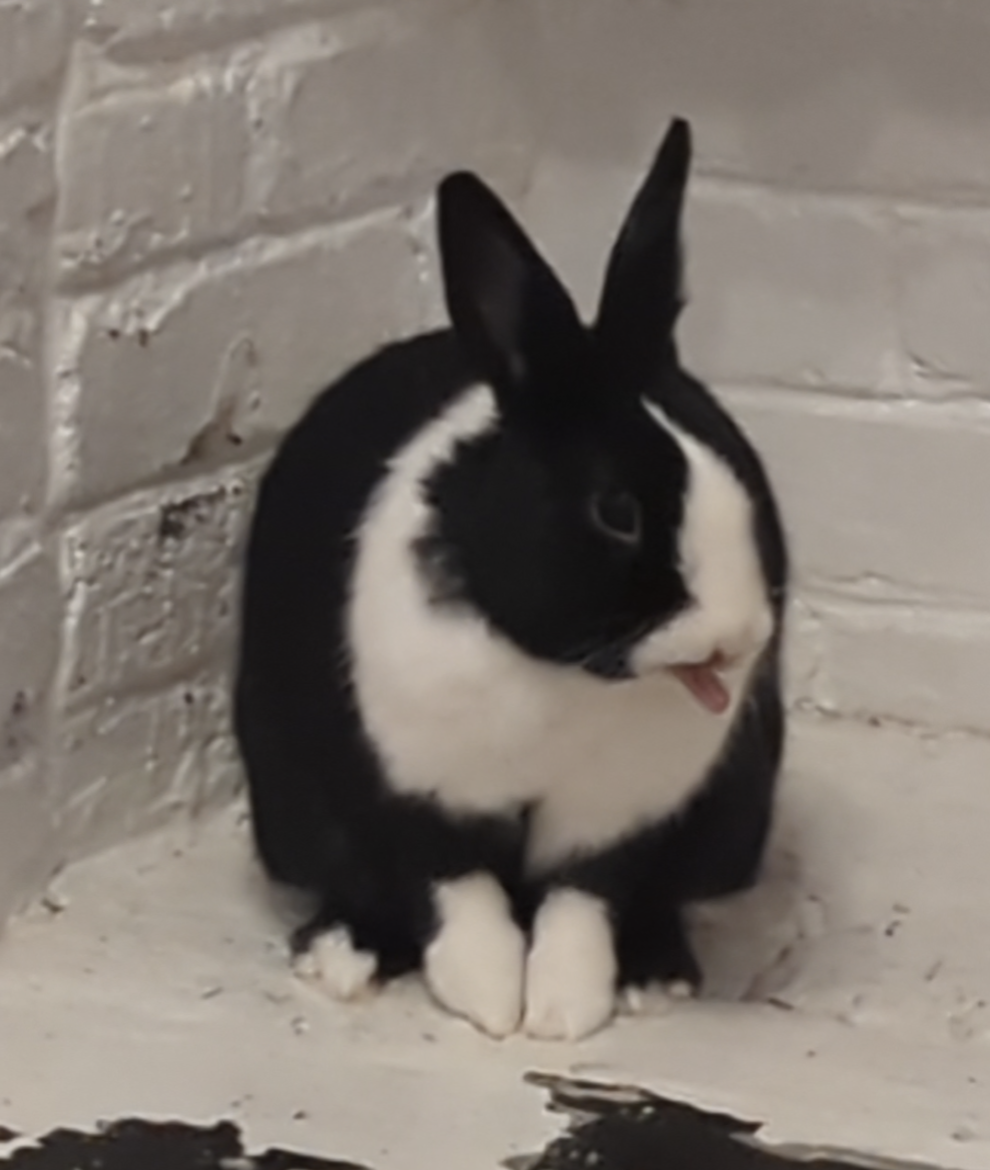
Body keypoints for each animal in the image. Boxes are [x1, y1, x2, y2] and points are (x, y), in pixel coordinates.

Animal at [233, 117, 788, 1042]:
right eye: (616, 511)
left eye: (740, 464)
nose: (738, 634)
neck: (564, 673)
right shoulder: (416, 794)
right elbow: (459, 895)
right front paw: (491, 1003)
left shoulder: (612, 822)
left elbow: (580, 906)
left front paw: (564, 1011)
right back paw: (345, 956)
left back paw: (657, 973)